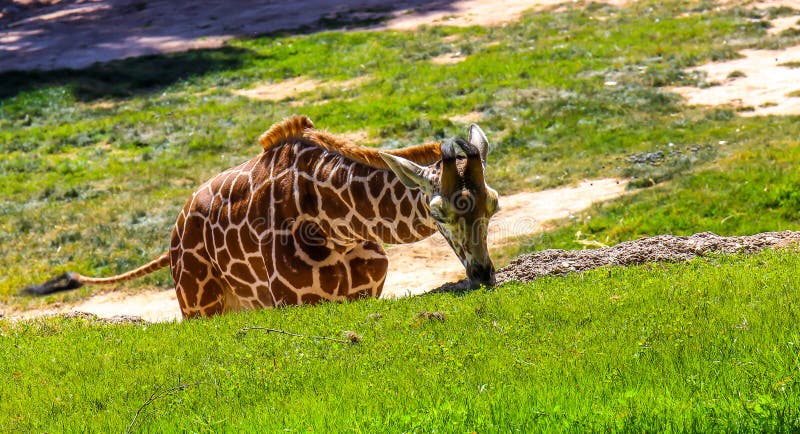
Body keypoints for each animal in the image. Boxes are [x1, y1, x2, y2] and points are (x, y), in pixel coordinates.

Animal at [24, 115, 500, 318]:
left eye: (494, 203)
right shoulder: (295, 303)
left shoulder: (363, 294)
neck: (338, 222)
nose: (483, 274)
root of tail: (174, 235)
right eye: (438, 211)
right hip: (200, 305)